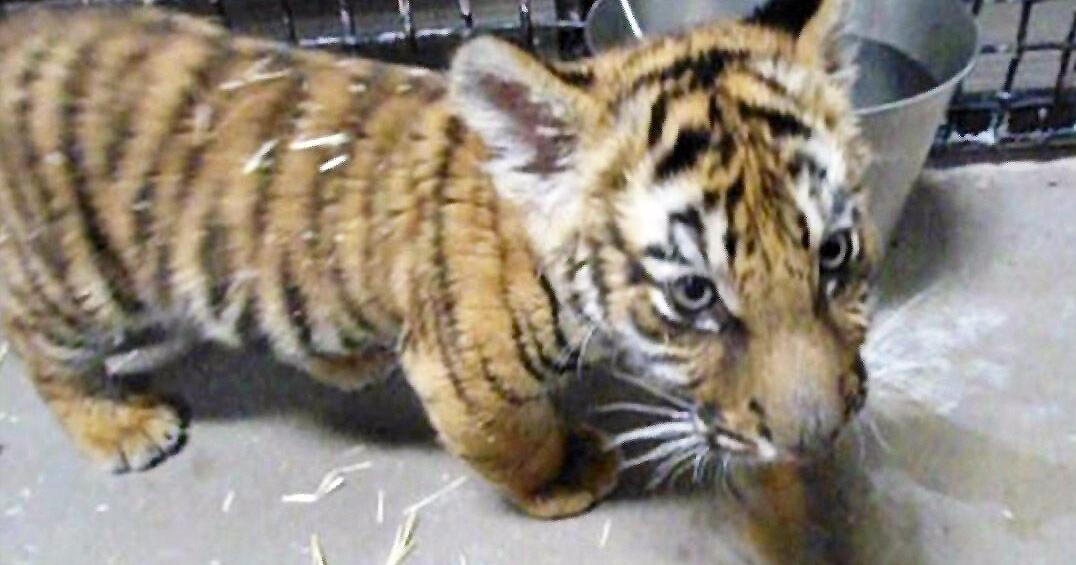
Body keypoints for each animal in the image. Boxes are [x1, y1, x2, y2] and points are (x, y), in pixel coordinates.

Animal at [0, 0, 874, 519]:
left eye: (834, 252)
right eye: (694, 294)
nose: (815, 439)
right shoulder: (462, 379)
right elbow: (515, 439)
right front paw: (564, 479)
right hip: (70, 283)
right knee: (40, 348)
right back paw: (121, 426)